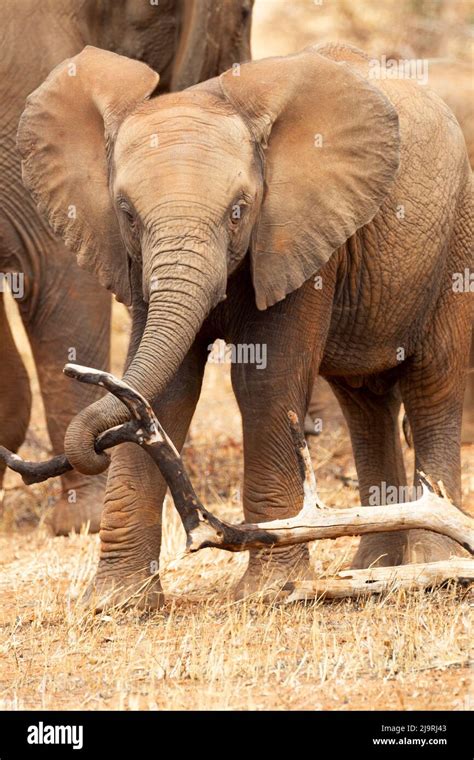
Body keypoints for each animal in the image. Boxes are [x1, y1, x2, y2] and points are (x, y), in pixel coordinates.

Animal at [17, 41, 473, 607]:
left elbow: (265, 382)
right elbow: (165, 391)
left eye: (239, 211)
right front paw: (114, 604)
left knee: (433, 386)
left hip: (455, 239)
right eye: (126, 213)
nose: (89, 450)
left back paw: (436, 566)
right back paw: (370, 571)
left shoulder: (297, 235)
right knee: (364, 404)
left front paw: (270, 592)